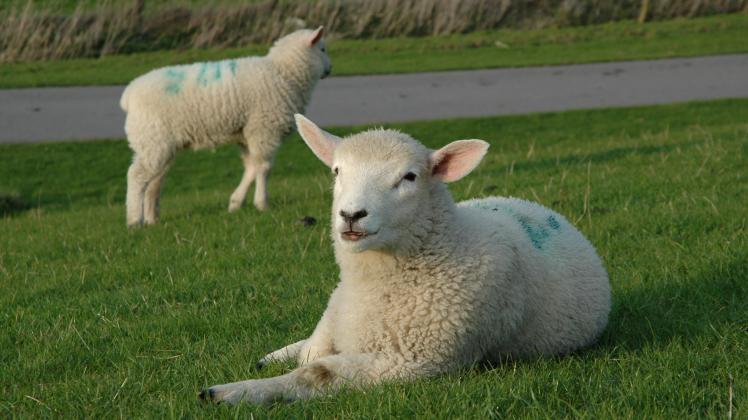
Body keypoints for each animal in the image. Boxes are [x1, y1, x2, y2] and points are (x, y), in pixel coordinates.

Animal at [120, 27, 331, 227]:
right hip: (152, 139)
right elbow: (263, 167)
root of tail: (129, 95)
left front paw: (236, 203)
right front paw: (262, 203)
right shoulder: (263, 129)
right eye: (322, 49)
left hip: (160, 144)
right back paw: (134, 220)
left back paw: (151, 218)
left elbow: (251, 167)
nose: (330, 69)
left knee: (155, 180)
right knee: (136, 175)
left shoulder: (247, 133)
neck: (283, 72)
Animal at [199, 114, 611, 404]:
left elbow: (315, 373)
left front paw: (231, 392)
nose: (351, 214)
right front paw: (263, 371)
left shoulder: (412, 361)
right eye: (337, 171)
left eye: (409, 177)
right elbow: (310, 356)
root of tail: (540, 208)